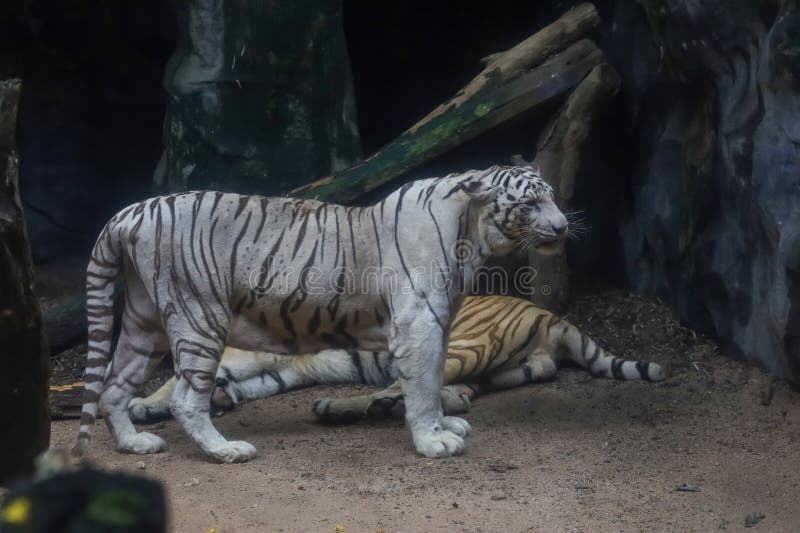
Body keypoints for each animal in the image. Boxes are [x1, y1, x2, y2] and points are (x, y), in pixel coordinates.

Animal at [74, 165, 568, 463]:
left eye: (553, 198)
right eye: (530, 204)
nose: (564, 226)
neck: (474, 234)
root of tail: (131, 212)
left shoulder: (440, 324)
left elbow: (431, 380)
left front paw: (445, 425)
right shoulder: (420, 324)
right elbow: (423, 386)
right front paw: (433, 440)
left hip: (143, 322)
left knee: (114, 386)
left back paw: (135, 443)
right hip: (199, 316)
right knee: (183, 398)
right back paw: (226, 450)